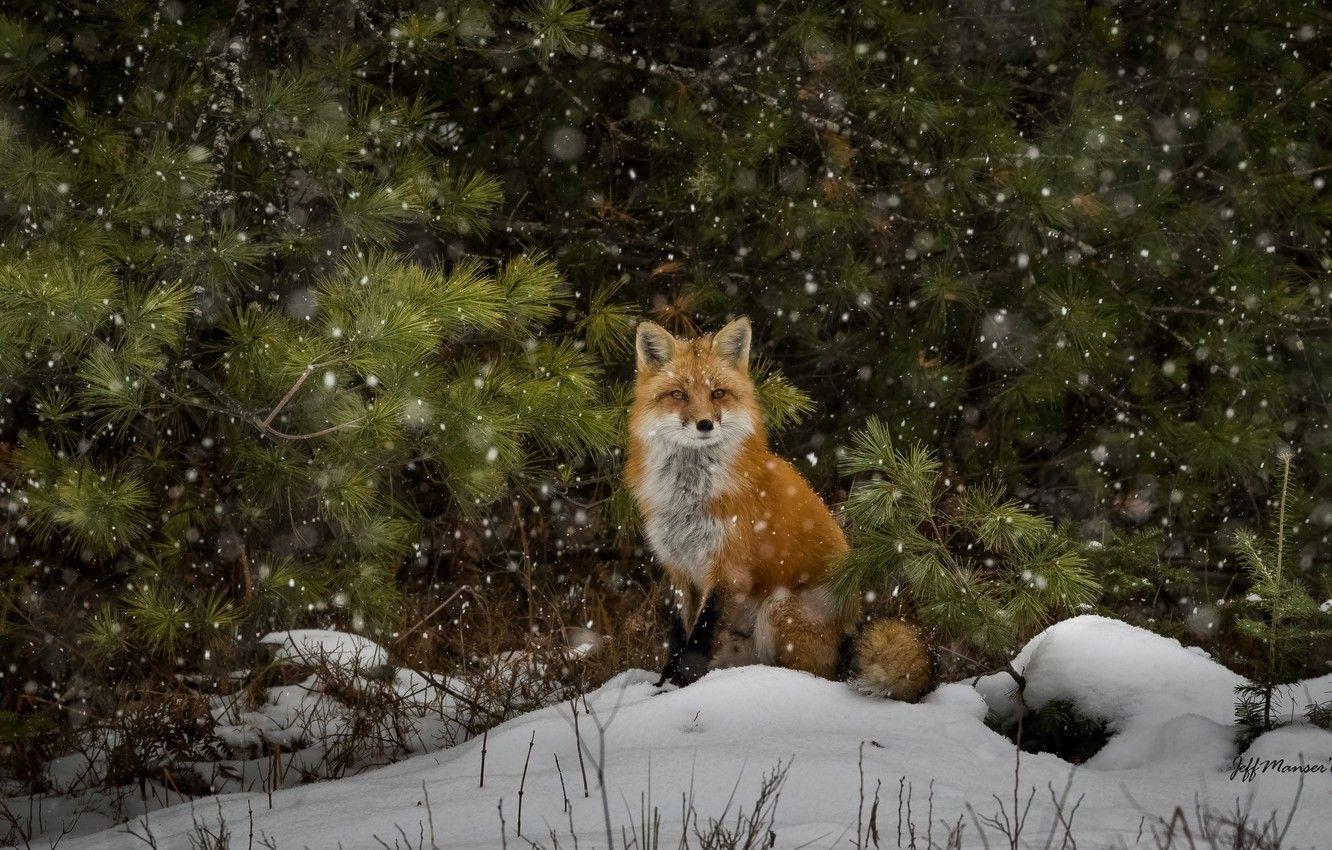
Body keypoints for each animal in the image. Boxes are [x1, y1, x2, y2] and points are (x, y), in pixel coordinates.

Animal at [627, 316, 934, 700]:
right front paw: (663, 684)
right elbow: (681, 634)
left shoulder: (728, 567)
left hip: (780, 608)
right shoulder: (680, 570)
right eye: (678, 395)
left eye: (718, 393)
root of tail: (853, 626)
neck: (690, 497)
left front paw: (680, 687)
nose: (705, 424)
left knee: (816, 676)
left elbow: (698, 639)